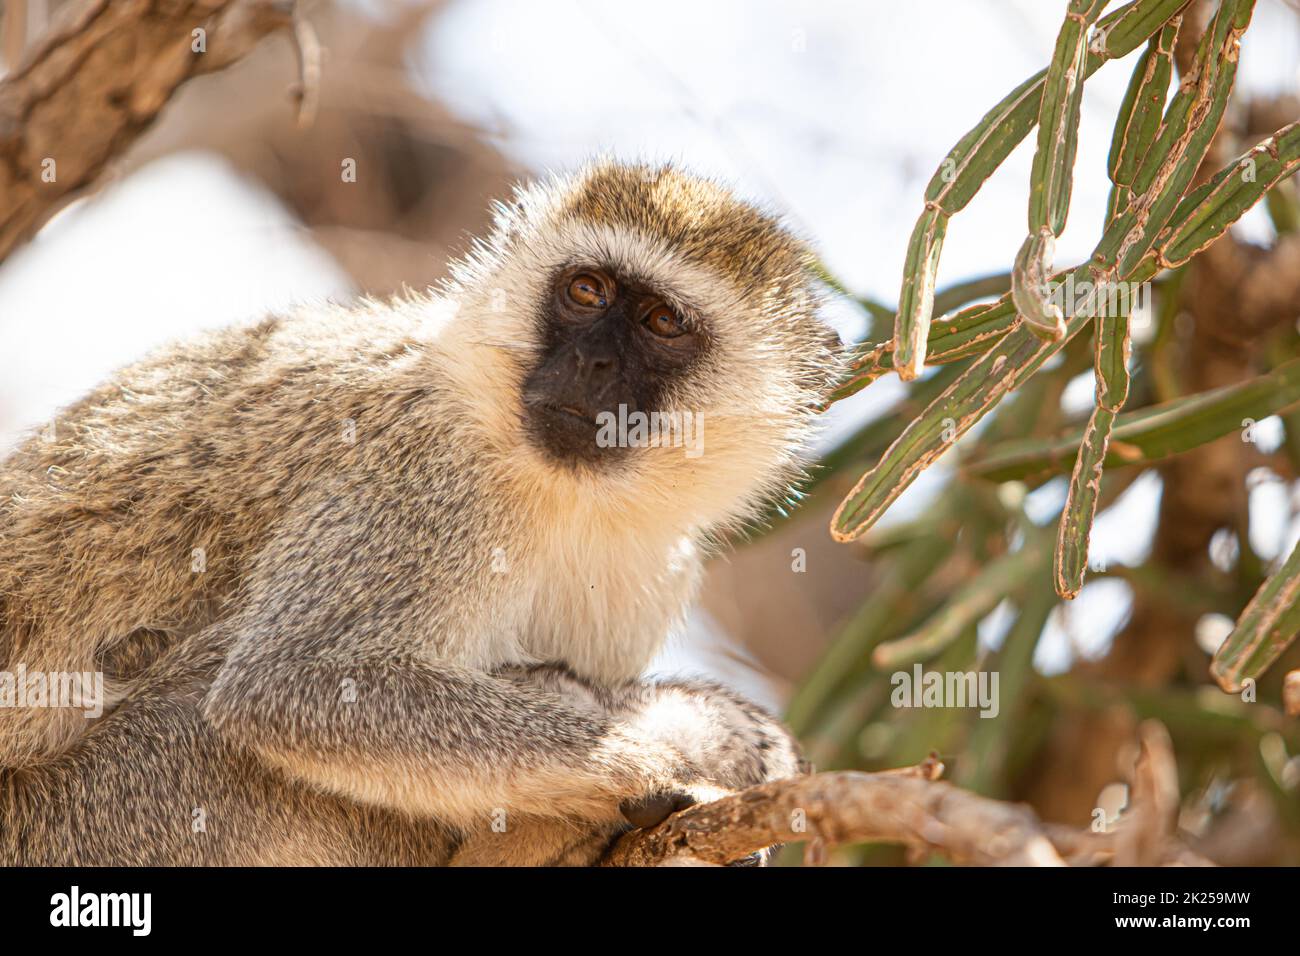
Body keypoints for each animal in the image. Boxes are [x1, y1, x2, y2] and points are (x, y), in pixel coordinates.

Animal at [0, 159, 843, 866]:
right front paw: (654, 762)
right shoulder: (428, 478)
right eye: (587, 292)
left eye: (663, 322)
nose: (592, 362)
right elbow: (294, 687)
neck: (564, 492)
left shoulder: (655, 571)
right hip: (107, 818)